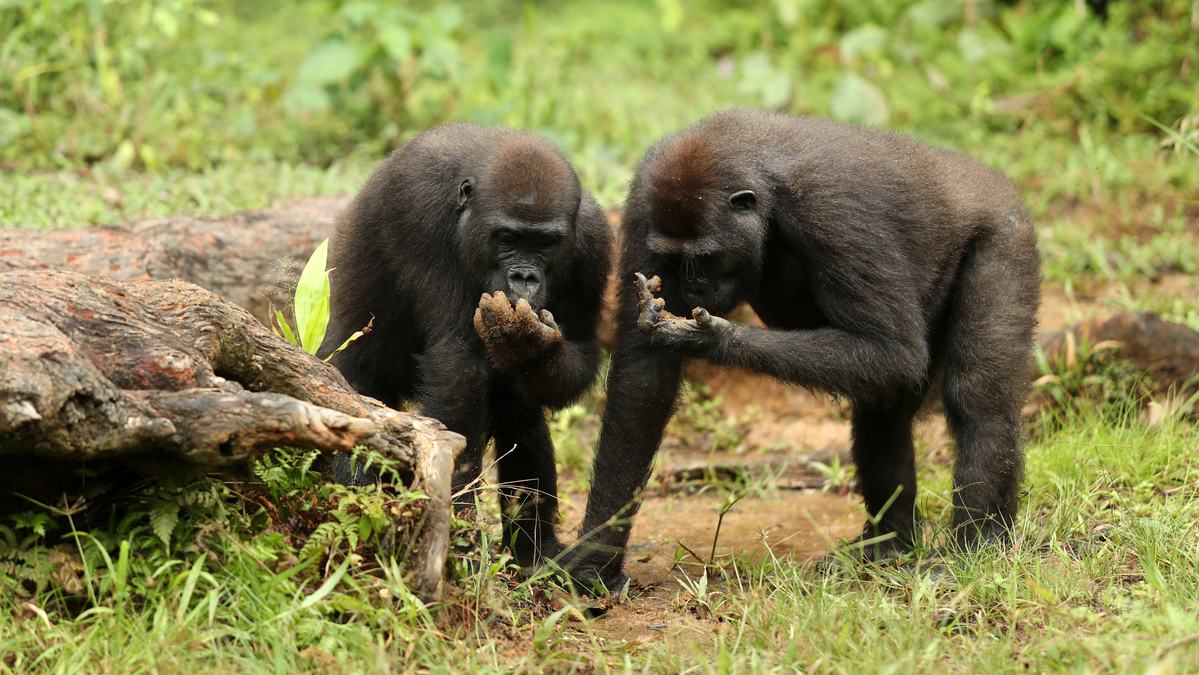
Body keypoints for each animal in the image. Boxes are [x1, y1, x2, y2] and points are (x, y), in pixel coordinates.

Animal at [318, 123, 611, 567]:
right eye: (506, 237)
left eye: (545, 244)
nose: (525, 278)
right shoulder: (419, 213)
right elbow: (457, 369)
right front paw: (458, 527)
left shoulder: (594, 240)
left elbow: (580, 353)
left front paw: (530, 348)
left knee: (520, 415)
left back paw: (534, 552)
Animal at [565, 109, 1040, 589]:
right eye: (674, 261)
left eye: (706, 258)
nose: (691, 288)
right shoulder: (644, 204)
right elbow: (642, 383)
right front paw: (596, 555)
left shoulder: (828, 208)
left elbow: (893, 350)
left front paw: (714, 338)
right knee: (883, 413)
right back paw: (890, 543)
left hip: (1006, 236)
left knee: (977, 399)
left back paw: (975, 546)